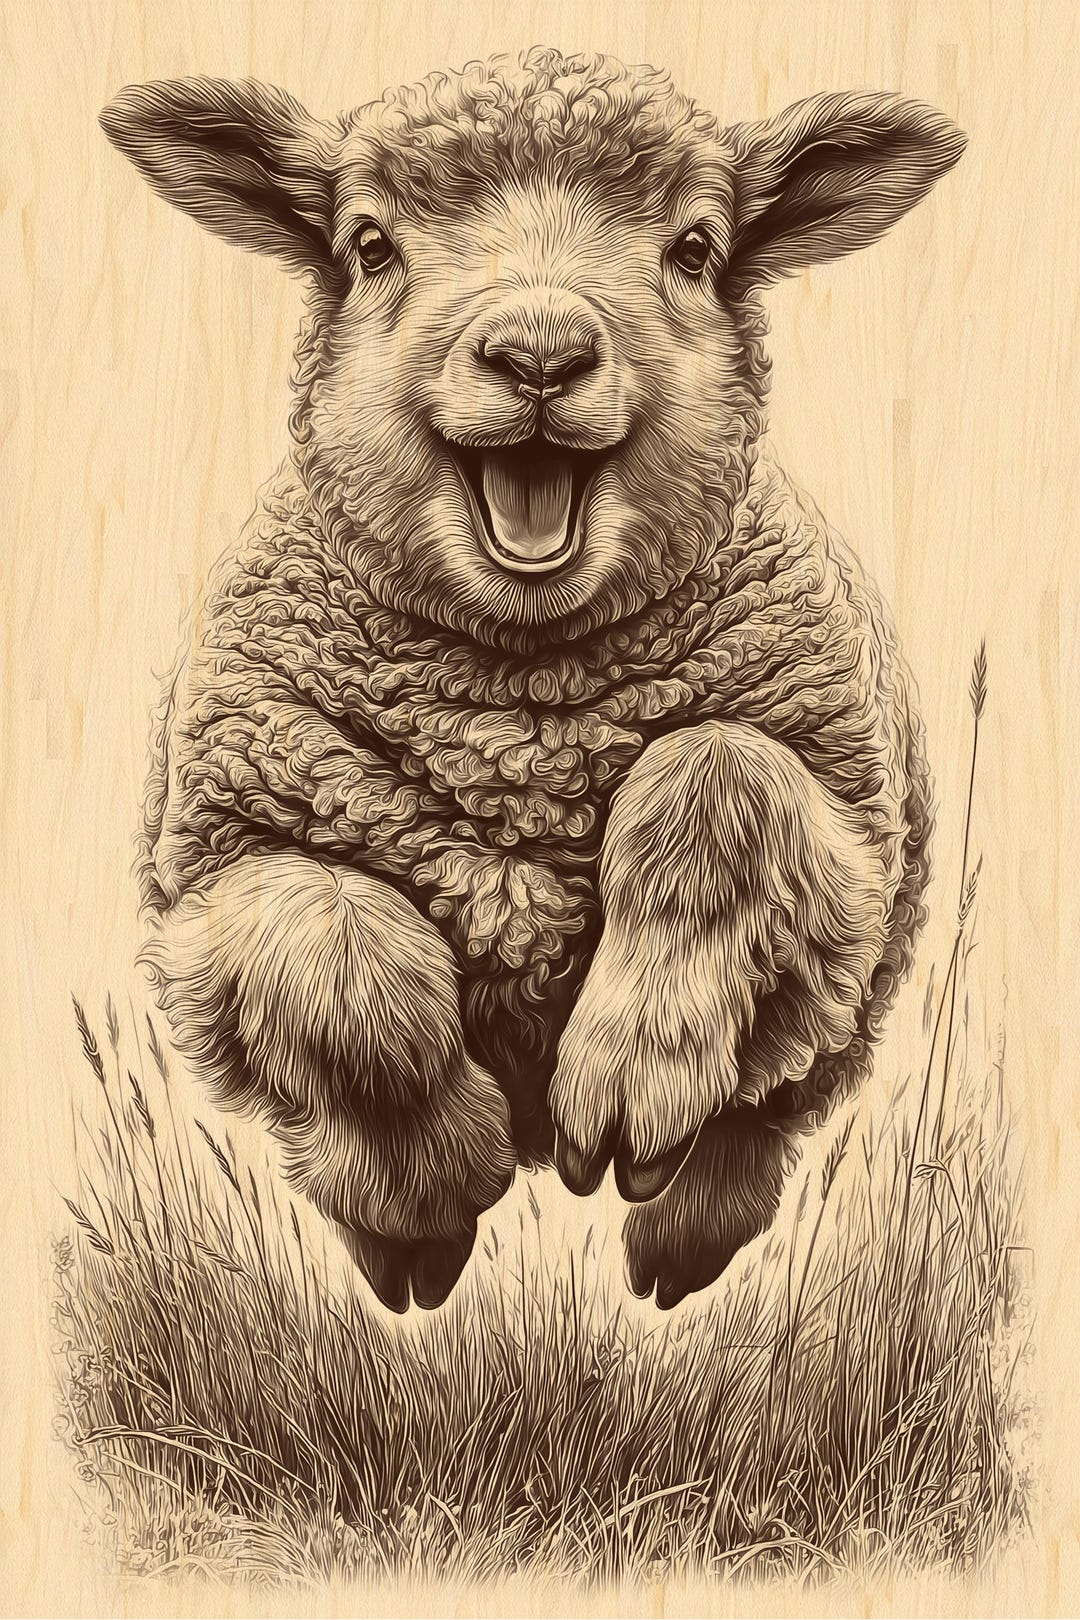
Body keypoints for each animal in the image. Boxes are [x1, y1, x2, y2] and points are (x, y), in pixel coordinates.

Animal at [100, 47, 963, 1311]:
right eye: (370, 244)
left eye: (694, 249)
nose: (541, 356)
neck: (523, 718)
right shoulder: (220, 856)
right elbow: (327, 955)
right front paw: (432, 1190)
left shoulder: (847, 839)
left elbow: (718, 781)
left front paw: (628, 1085)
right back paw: (405, 1257)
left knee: (768, 1113)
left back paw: (674, 1242)